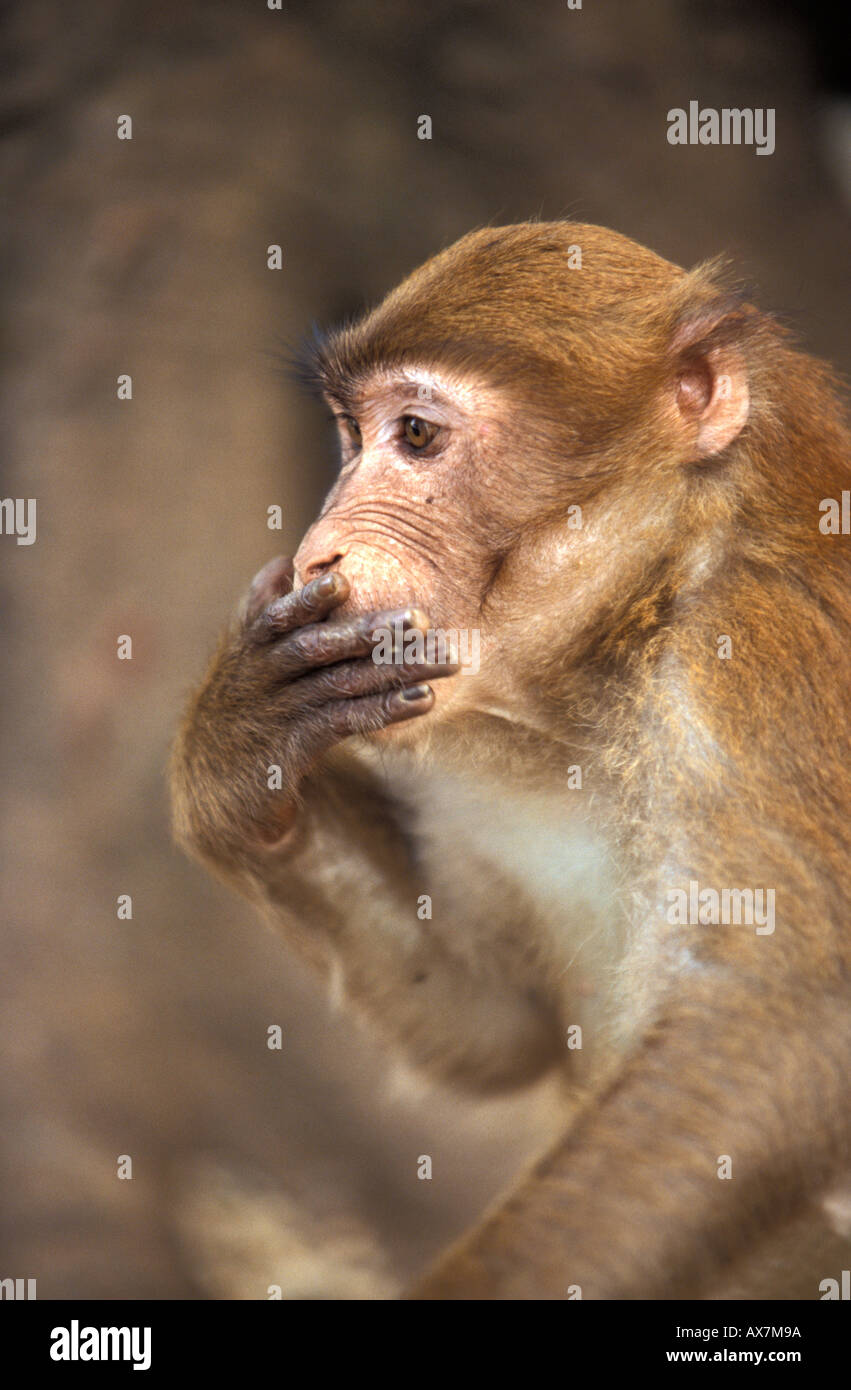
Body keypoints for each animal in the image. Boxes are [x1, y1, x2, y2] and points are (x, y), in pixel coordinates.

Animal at [170, 221, 851, 1300]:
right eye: (349, 431)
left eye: (414, 435)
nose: (318, 552)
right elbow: (493, 1023)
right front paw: (235, 746)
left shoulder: (754, 646)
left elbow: (774, 1032)